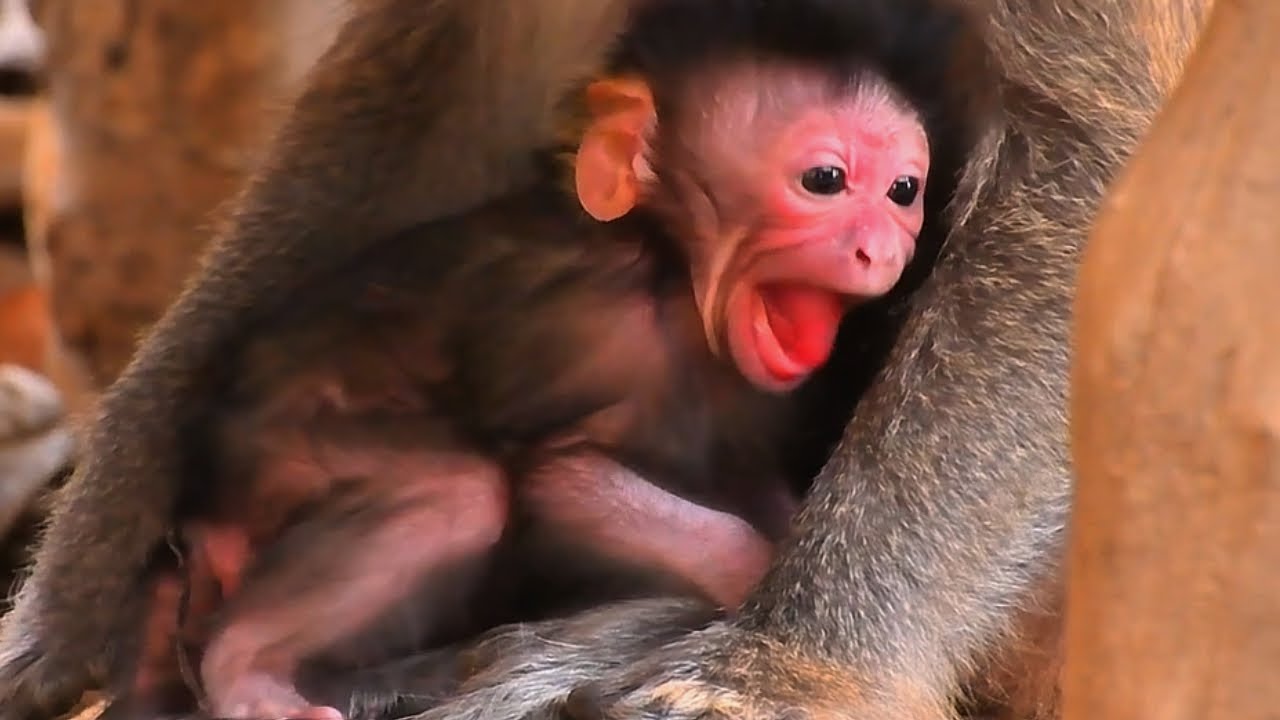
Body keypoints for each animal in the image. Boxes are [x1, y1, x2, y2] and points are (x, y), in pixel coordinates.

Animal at [0, 0, 1206, 718]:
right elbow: (448, 65)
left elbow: (1088, 149)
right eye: (822, 181)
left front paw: (788, 671)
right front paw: (83, 590)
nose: (875, 244)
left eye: (899, 189)